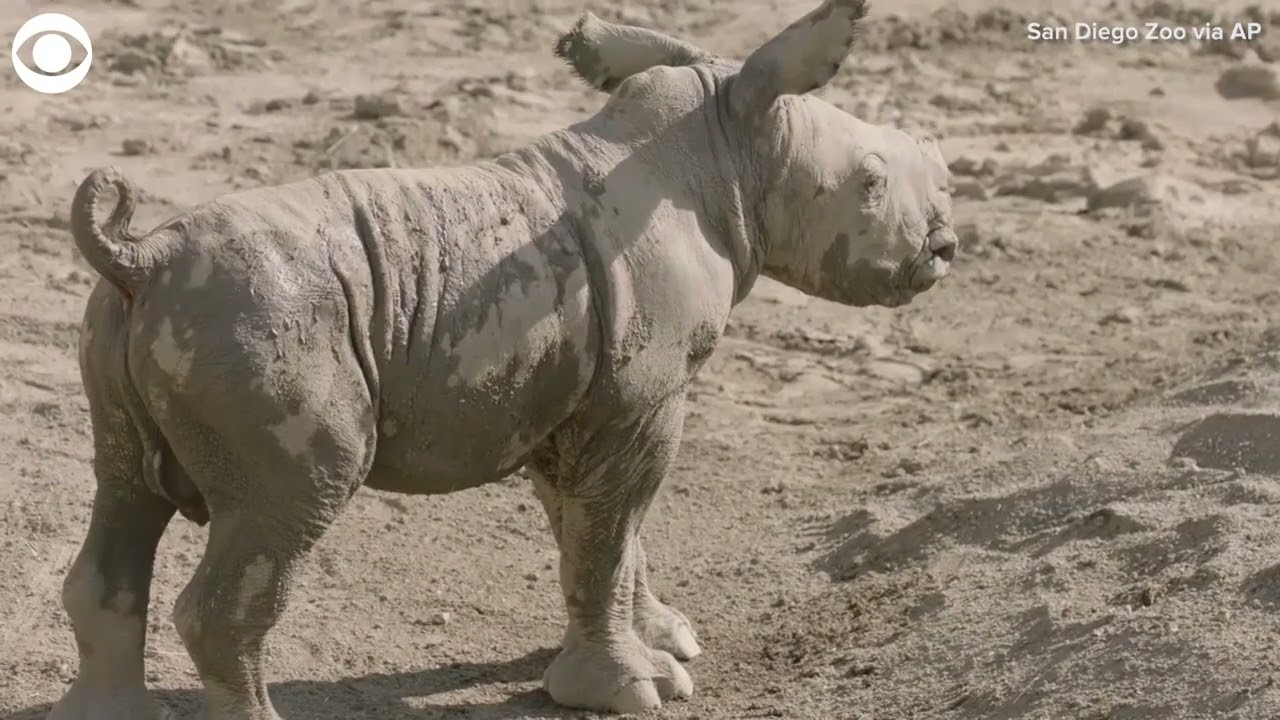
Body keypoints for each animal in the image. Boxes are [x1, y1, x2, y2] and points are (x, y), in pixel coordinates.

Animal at [49, 1, 955, 717]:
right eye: (871, 182)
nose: (944, 247)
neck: (729, 149)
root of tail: (141, 259)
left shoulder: (590, 397)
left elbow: (602, 530)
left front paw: (666, 644)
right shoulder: (638, 398)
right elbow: (610, 532)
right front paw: (630, 692)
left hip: (139, 327)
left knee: (122, 497)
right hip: (257, 323)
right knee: (278, 516)